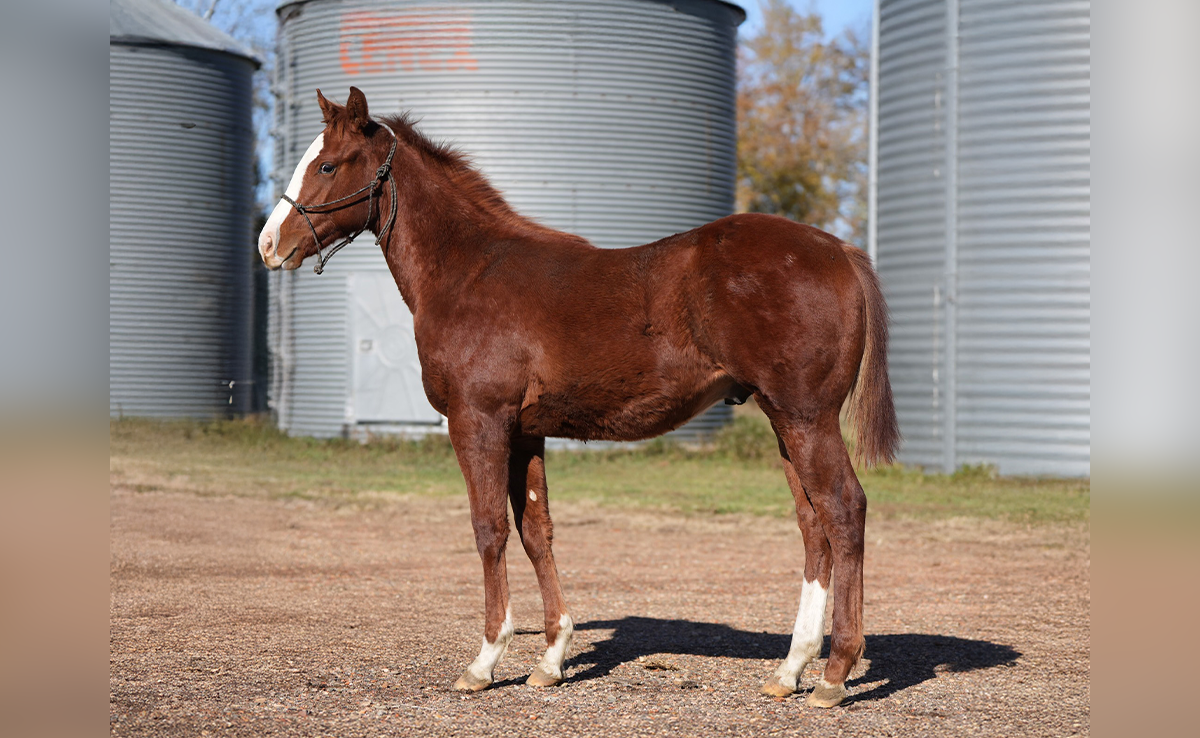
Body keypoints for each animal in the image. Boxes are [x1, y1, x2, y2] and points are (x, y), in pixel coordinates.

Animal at [258, 87, 899, 708]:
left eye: (327, 164)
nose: (268, 244)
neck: (470, 271)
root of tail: (839, 250)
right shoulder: (525, 431)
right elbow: (535, 531)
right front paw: (551, 658)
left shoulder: (478, 421)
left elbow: (489, 528)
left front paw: (485, 662)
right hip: (784, 420)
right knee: (813, 525)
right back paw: (790, 669)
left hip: (807, 418)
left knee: (844, 511)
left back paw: (834, 674)